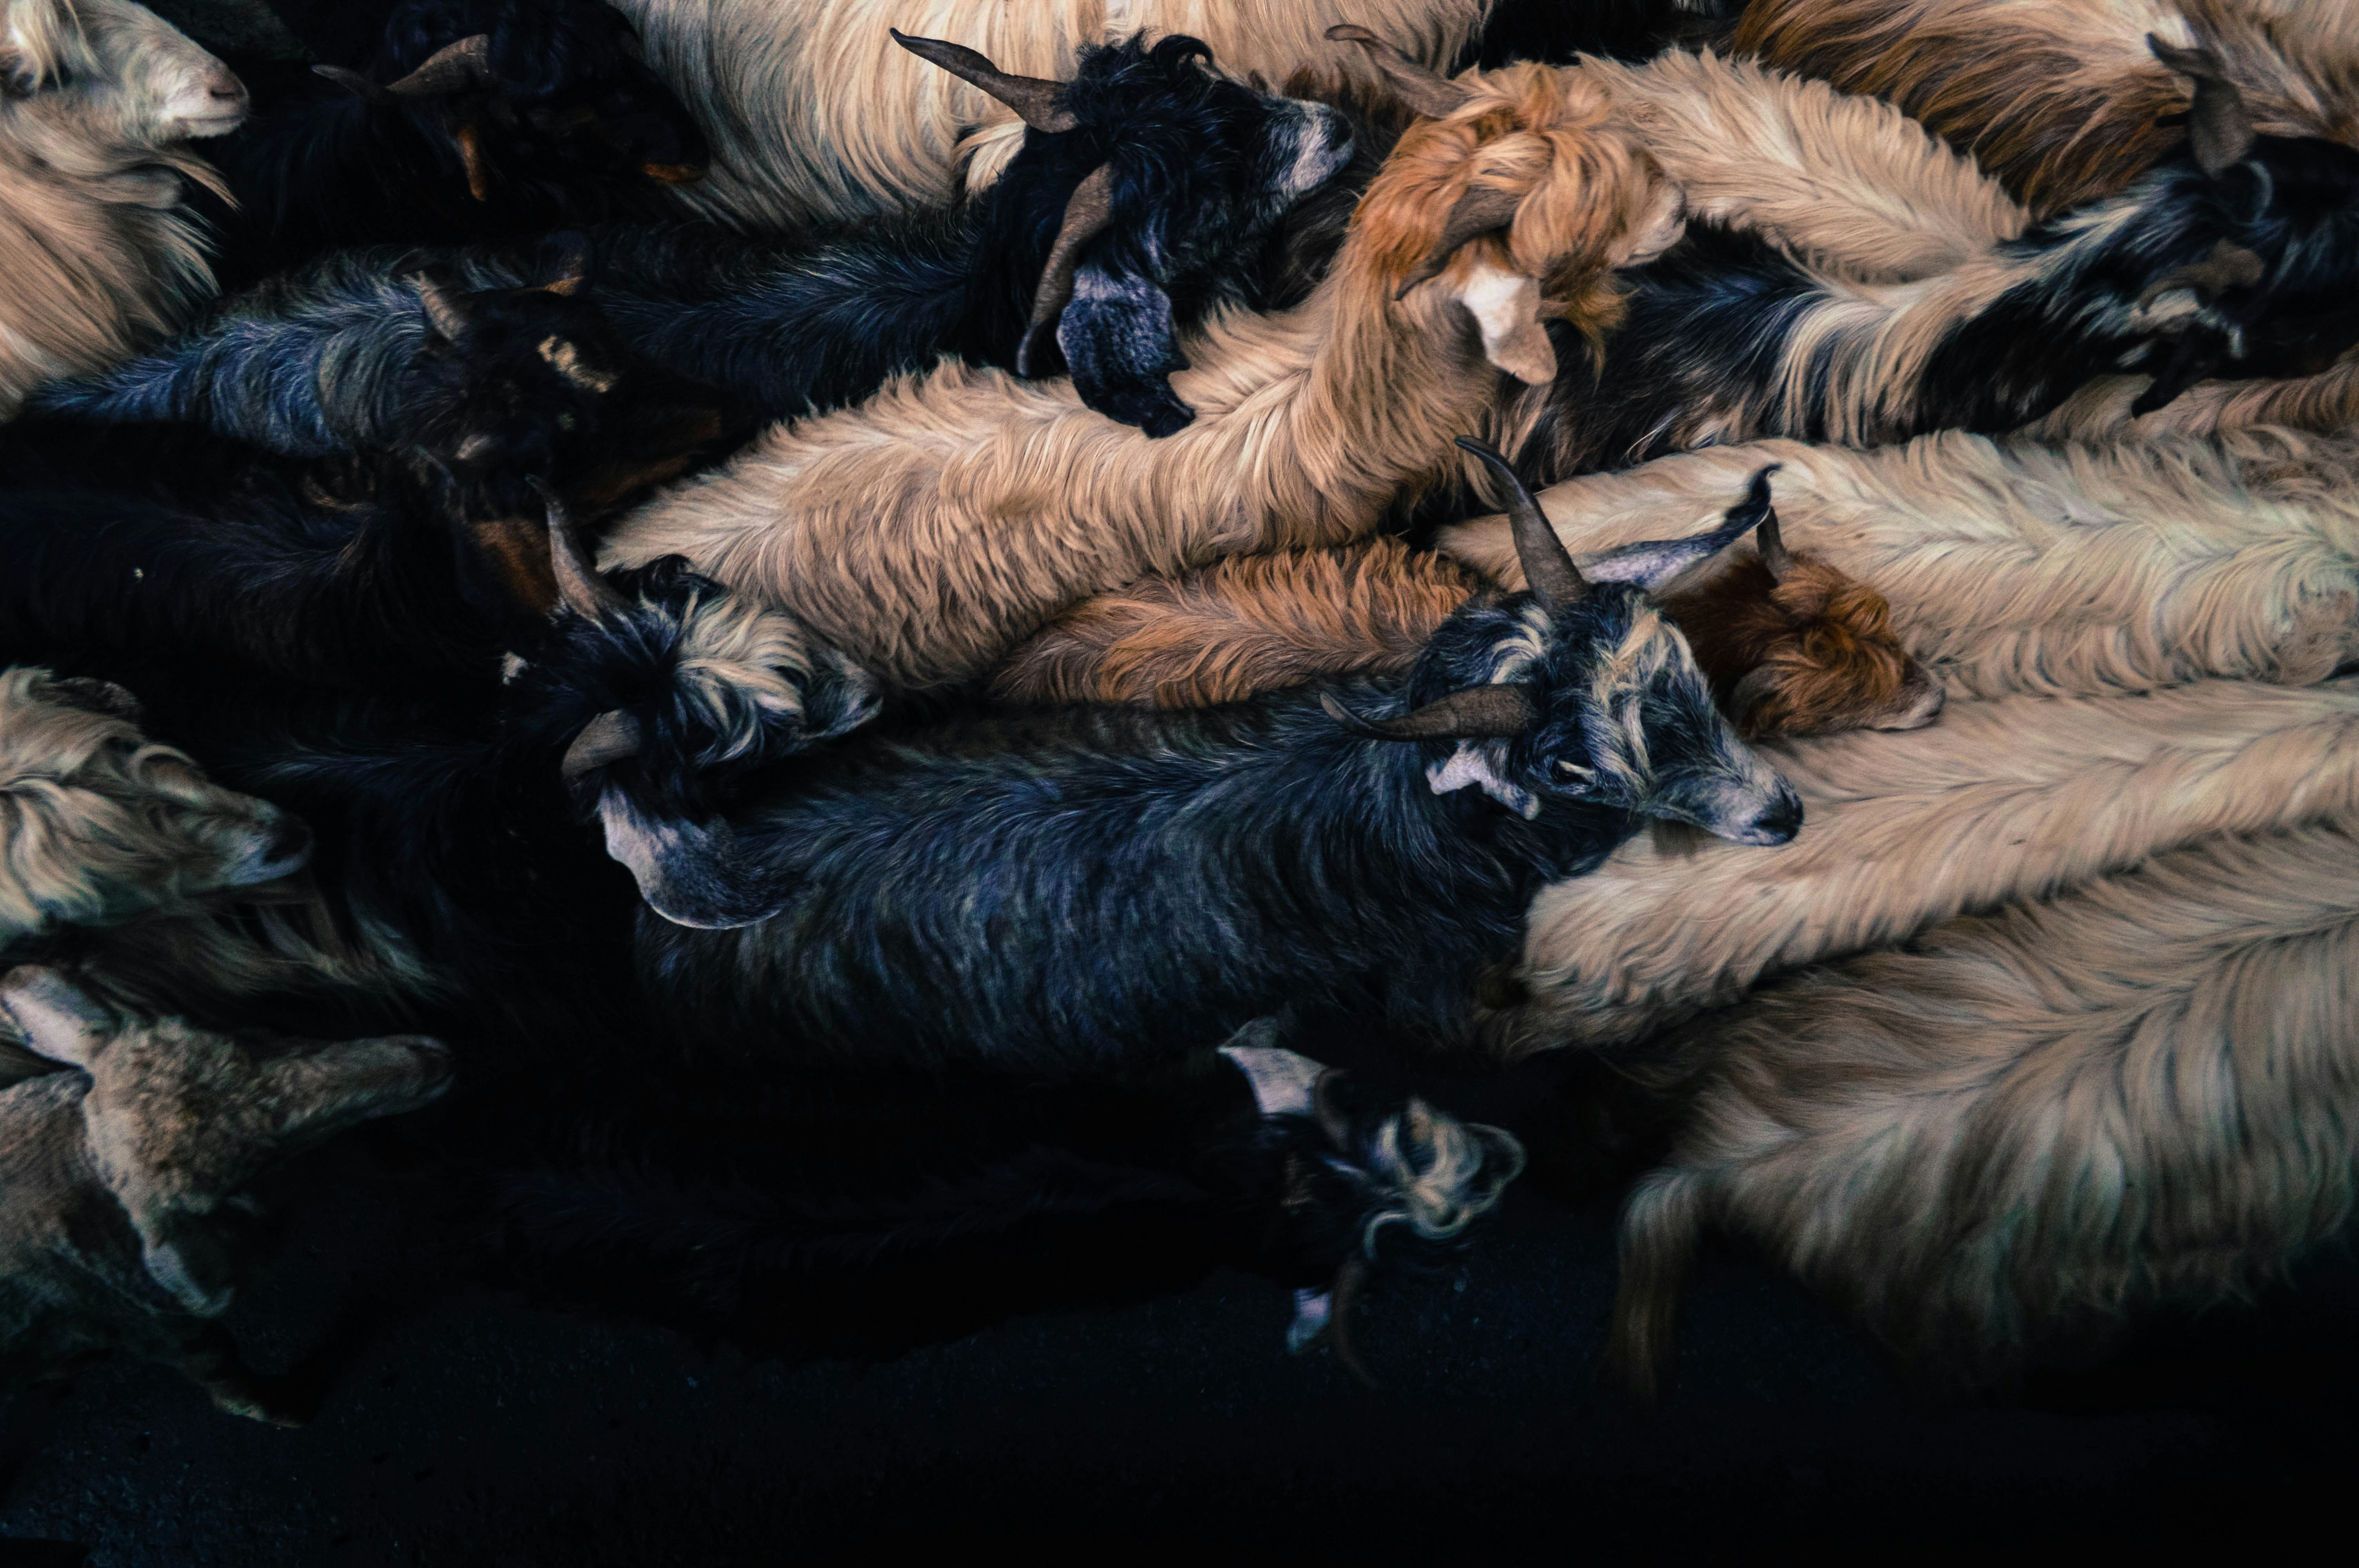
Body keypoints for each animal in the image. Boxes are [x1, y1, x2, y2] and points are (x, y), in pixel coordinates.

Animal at [0, 965, 448, 1422]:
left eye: (249, 1035)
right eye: (256, 1165)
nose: (428, 1062)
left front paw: (423, 1161)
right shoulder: (161, 1328)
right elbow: (226, 1379)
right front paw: (285, 1411)